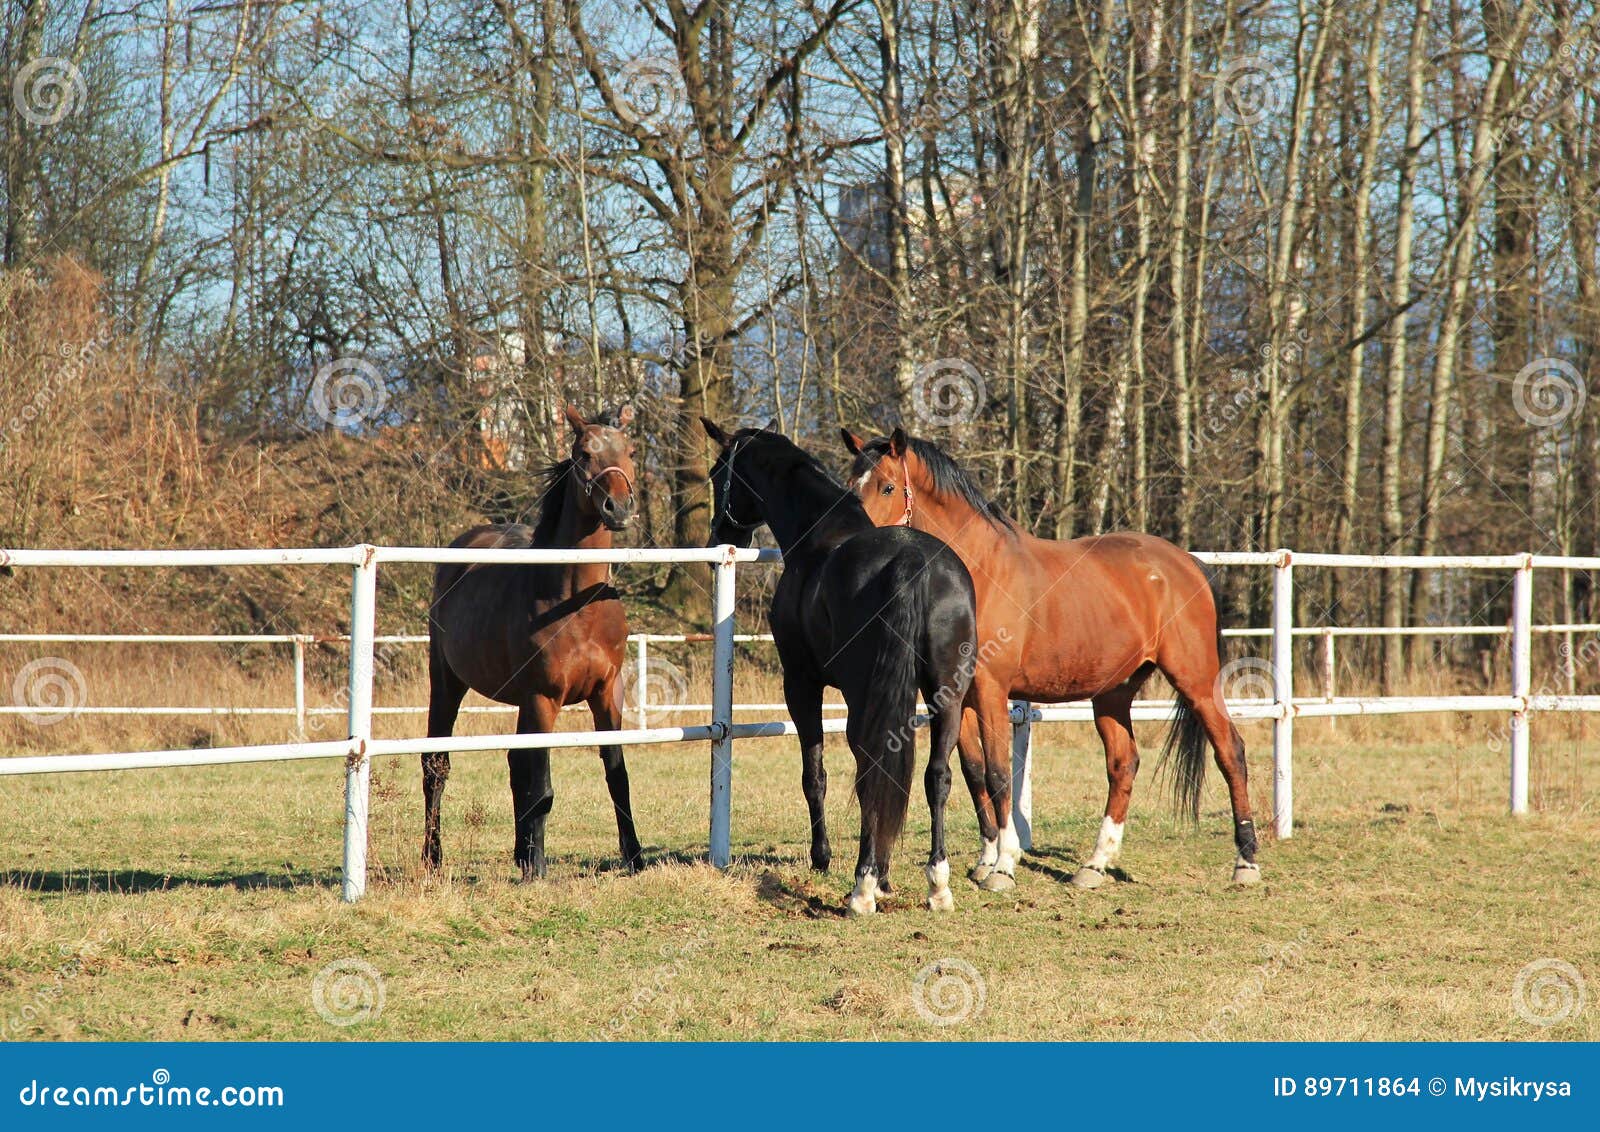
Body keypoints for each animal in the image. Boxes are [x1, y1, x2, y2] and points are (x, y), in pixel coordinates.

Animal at [423, 403, 643, 880]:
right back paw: (433, 857)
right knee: (437, 765)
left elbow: (617, 774)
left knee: (514, 764)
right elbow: (540, 784)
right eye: (583, 454)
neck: (574, 603)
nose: (619, 508)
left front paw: (635, 857)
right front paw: (537, 867)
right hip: (447, 681)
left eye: (631, 451)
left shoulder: (607, 694)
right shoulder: (543, 698)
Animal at [701, 419, 978, 914]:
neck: (819, 536)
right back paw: (935, 883)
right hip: (948, 696)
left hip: (863, 695)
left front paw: (824, 857)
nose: (719, 537)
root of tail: (912, 561)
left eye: (718, 474)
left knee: (870, 768)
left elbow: (815, 775)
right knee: (936, 776)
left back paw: (863, 885)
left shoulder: (801, 683)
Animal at [842, 428, 1259, 889]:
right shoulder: (955, 695)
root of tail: (1187, 564)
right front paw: (986, 858)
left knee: (1231, 752)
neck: (978, 572)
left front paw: (1004, 866)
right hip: (1113, 693)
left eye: (887, 487)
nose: (855, 544)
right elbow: (973, 771)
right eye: (850, 483)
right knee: (1123, 763)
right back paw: (1094, 865)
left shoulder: (991, 691)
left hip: (1196, 682)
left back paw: (1246, 862)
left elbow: (998, 772)